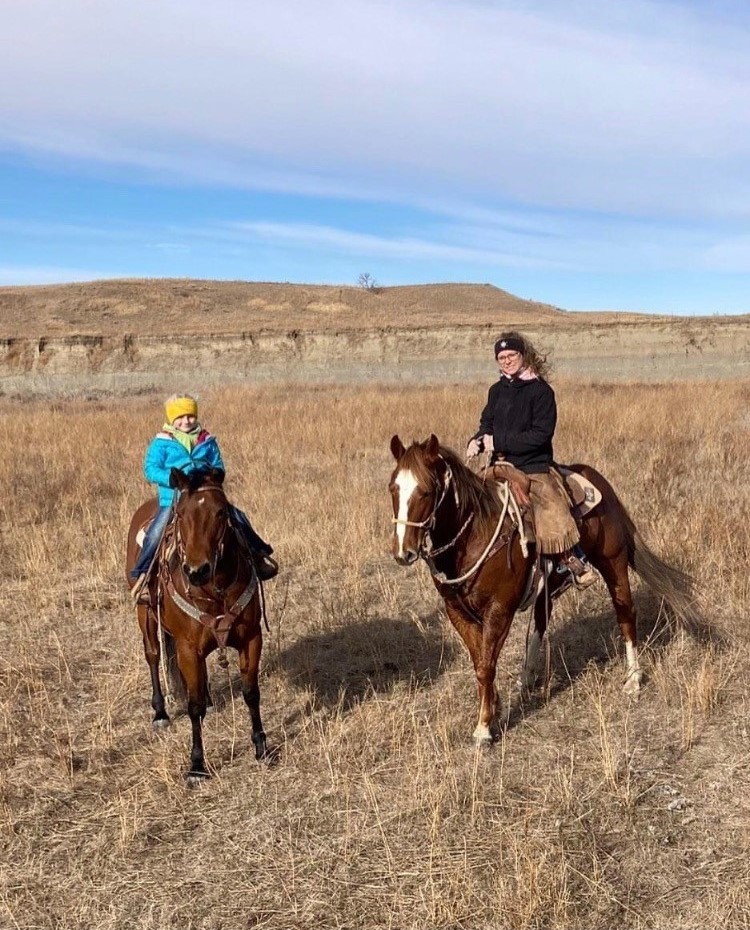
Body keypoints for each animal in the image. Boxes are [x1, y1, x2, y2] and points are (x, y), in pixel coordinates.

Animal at [126, 467, 270, 780]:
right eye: (181, 514)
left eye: (221, 511)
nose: (197, 571)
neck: (215, 591)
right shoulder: (188, 648)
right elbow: (193, 707)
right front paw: (196, 765)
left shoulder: (251, 639)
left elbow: (251, 693)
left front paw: (261, 747)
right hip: (145, 615)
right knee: (153, 655)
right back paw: (160, 714)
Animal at [389, 434, 701, 745]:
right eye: (393, 488)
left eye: (426, 491)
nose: (404, 552)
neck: (475, 533)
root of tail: (598, 481)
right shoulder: (457, 613)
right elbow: (480, 661)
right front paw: (494, 706)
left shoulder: (499, 610)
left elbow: (486, 665)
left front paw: (483, 727)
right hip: (546, 587)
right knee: (540, 624)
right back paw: (526, 679)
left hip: (614, 564)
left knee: (626, 614)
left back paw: (633, 679)